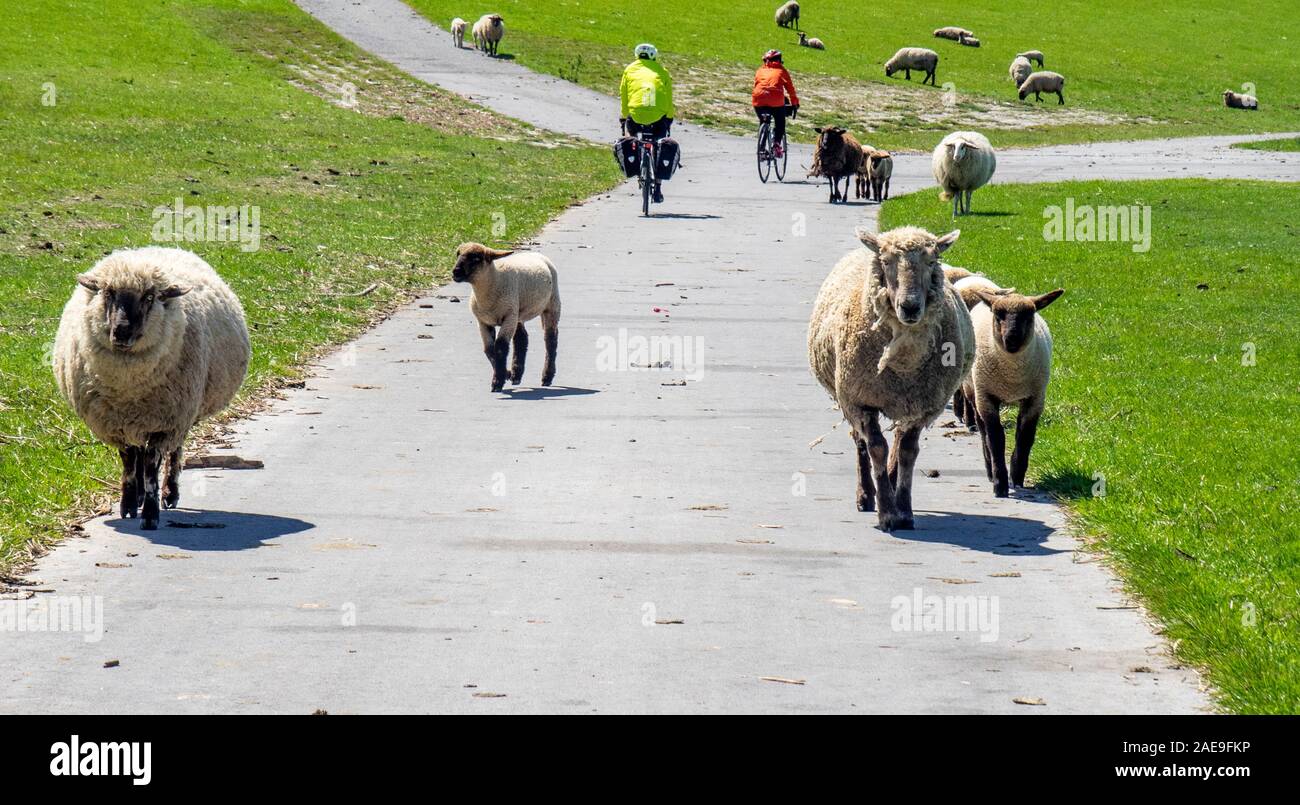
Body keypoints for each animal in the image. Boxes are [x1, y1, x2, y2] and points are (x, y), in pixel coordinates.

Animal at [52, 247, 250, 530]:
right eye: (108, 293)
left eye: (149, 297)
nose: (121, 332)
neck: (128, 389)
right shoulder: (117, 422)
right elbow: (129, 461)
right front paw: (128, 504)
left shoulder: (164, 422)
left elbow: (151, 468)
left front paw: (150, 512)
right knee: (139, 454)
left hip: (183, 412)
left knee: (173, 451)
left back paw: (169, 493)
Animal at [452, 242, 560, 392]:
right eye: (458, 254)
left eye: (476, 258)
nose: (455, 272)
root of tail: (538, 255)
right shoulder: (483, 322)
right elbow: (489, 349)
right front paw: (506, 373)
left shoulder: (508, 318)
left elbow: (500, 347)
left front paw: (497, 382)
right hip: (517, 311)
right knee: (522, 338)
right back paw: (516, 375)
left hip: (551, 304)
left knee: (550, 339)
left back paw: (547, 377)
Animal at [808, 226, 975, 531]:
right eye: (886, 262)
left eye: (932, 261)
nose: (909, 307)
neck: (903, 361)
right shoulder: (860, 401)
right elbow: (876, 447)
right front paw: (886, 511)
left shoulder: (922, 406)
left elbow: (908, 451)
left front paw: (904, 510)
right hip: (850, 396)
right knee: (860, 442)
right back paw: (866, 495)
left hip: (903, 401)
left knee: (897, 440)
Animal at [963, 284, 1065, 497]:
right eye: (998, 315)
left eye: (1029, 315)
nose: (1012, 339)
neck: (1012, 375)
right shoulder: (986, 398)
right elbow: (995, 439)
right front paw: (999, 484)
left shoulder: (1035, 399)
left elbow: (1025, 437)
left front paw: (1017, 476)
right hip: (973, 391)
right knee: (983, 431)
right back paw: (989, 469)